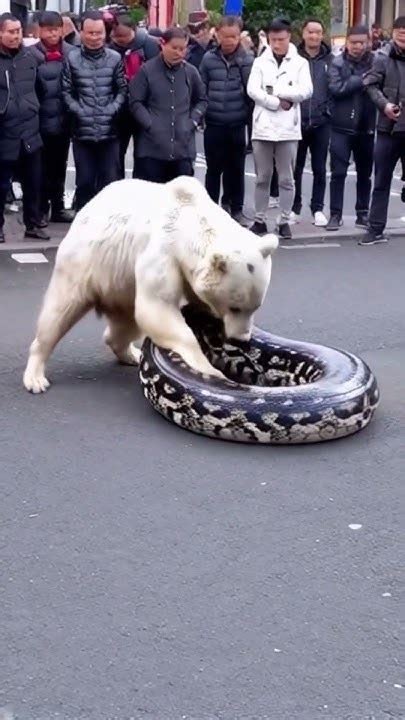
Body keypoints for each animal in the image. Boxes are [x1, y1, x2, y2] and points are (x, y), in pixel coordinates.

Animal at [23, 176, 278, 394]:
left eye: (255, 307)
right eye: (235, 307)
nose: (241, 339)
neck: (188, 217)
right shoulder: (163, 252)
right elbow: (157, 308)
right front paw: (210, 370)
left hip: (122, 284)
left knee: (126, 322)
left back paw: (131, 354)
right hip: (87, 261)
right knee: (59, 312)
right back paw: (35, 376)